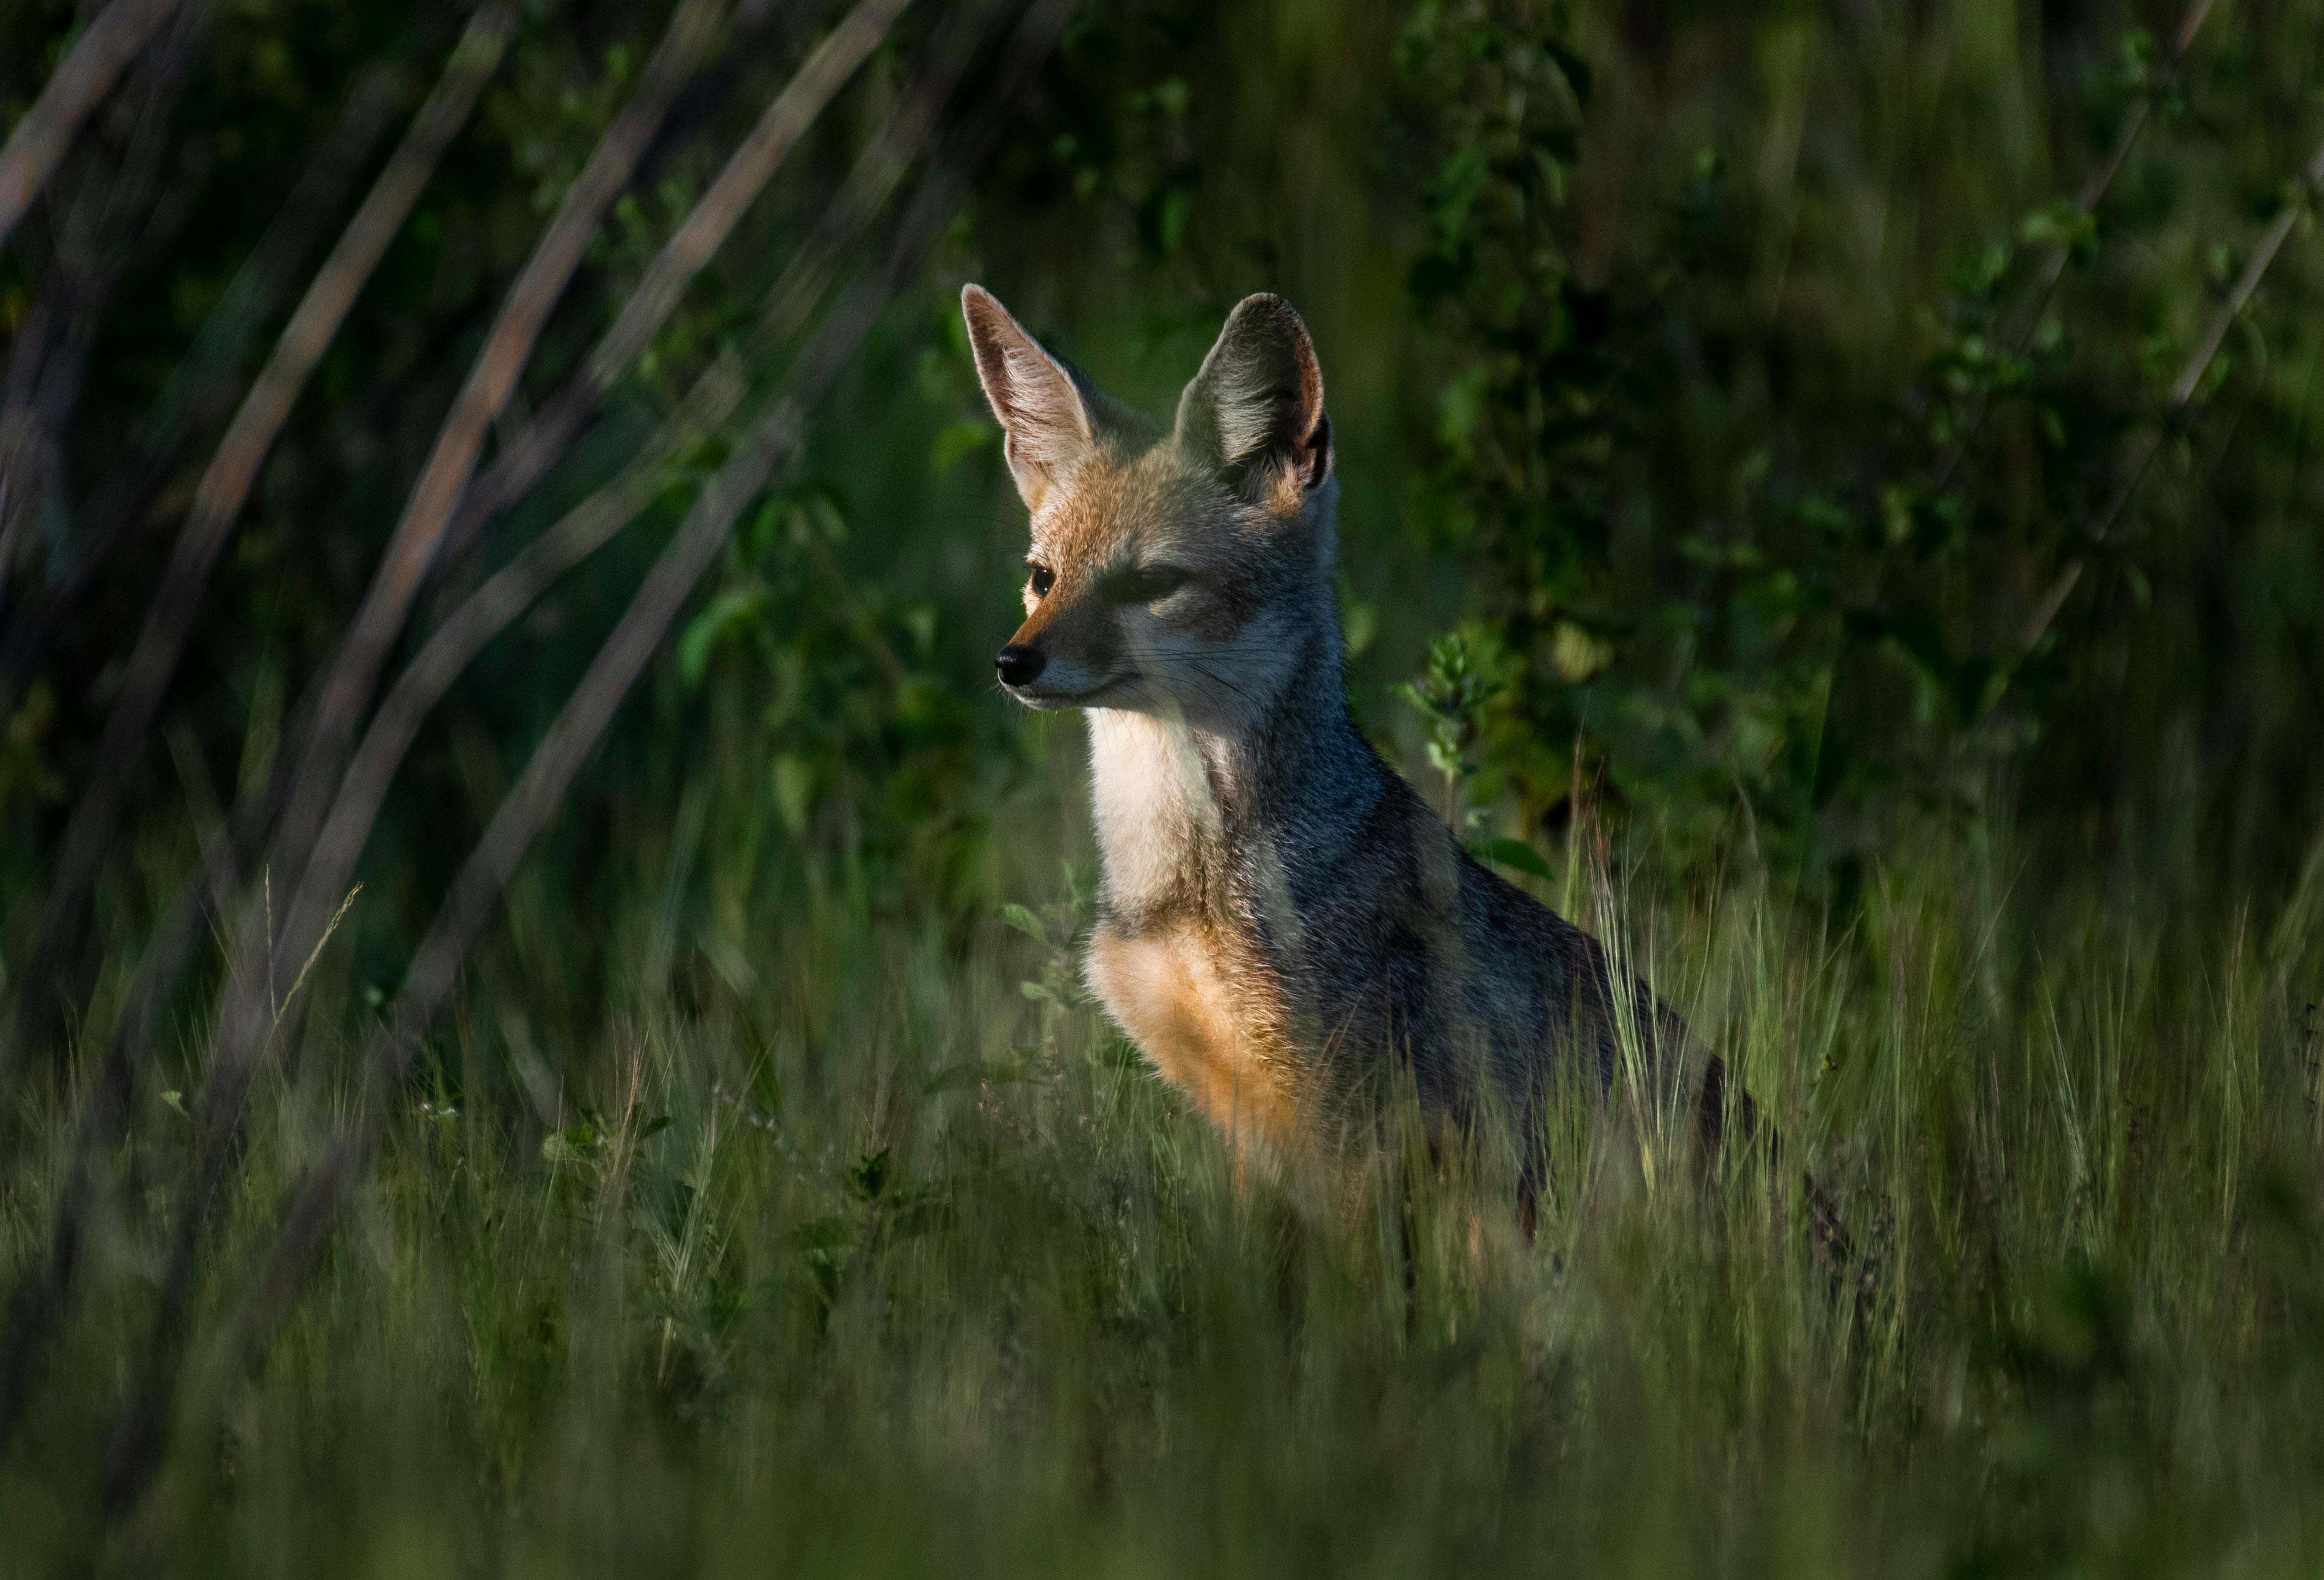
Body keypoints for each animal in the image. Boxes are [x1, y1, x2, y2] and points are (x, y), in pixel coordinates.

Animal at [962, 283, 1769, 1225]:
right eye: (1043, 578)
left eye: (1151, 584)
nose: (1012, 662)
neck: (1181, 880)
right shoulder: (1250, 1125)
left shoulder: (1352, 1134)